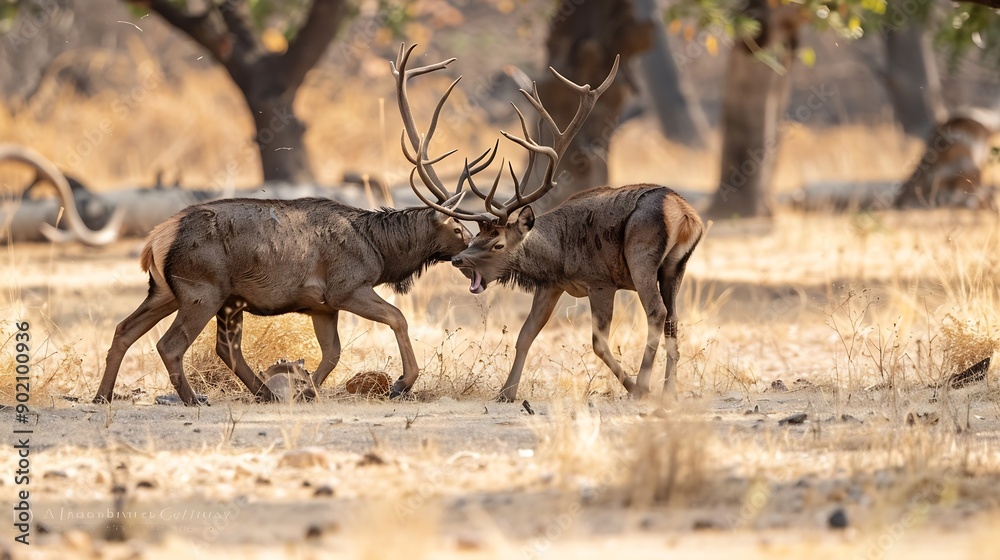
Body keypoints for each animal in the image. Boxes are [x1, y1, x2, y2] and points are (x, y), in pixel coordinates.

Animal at [396, 45, 704, 403]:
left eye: (498, 243)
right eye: (473, 237)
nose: (459, 260)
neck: (557, 257)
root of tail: (683, 214)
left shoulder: (599, 281)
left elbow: (598, 342)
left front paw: (633, 387)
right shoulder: (551, 285)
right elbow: (525, 335)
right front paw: (506, 392)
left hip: (641, 256)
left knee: (656, 313)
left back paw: (643, 387)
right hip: (675, 267)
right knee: (673, 320)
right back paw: (669, 391)